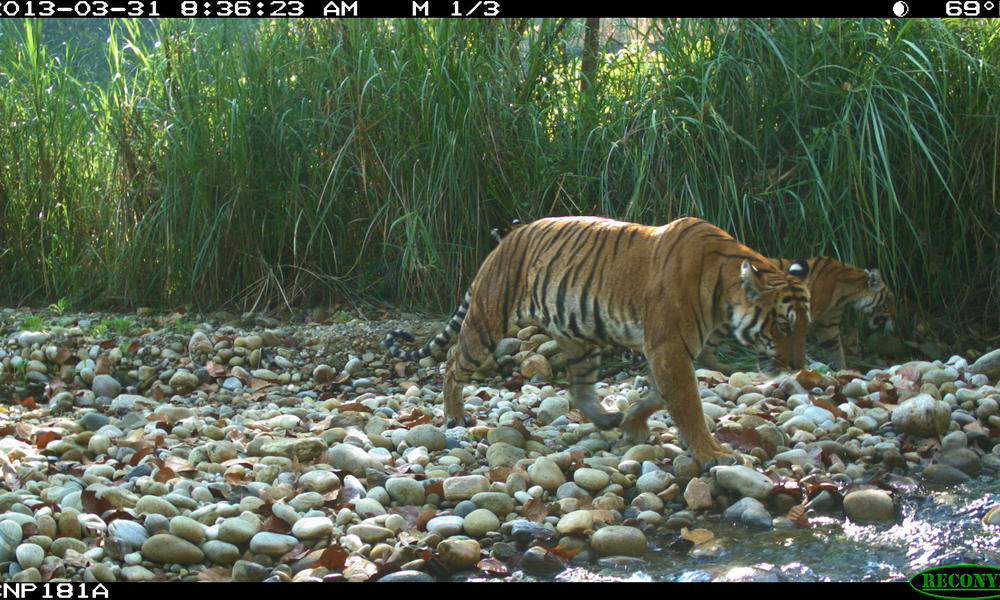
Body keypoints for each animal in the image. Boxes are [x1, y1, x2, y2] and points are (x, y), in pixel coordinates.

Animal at [384, 216, 811, 466]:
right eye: (783, 325)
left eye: (805, 323)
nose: (799, 366)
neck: (724, 292)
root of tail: (506, 238)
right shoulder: (668, 347)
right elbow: (687, 404)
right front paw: (714, 453)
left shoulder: (670, 351)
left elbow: (658, 396)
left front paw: (631, 424)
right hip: (487, 325)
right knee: (452, 361)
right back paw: (454, 414)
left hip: (579, 338)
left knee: (578, 387)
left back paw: (607, 417)